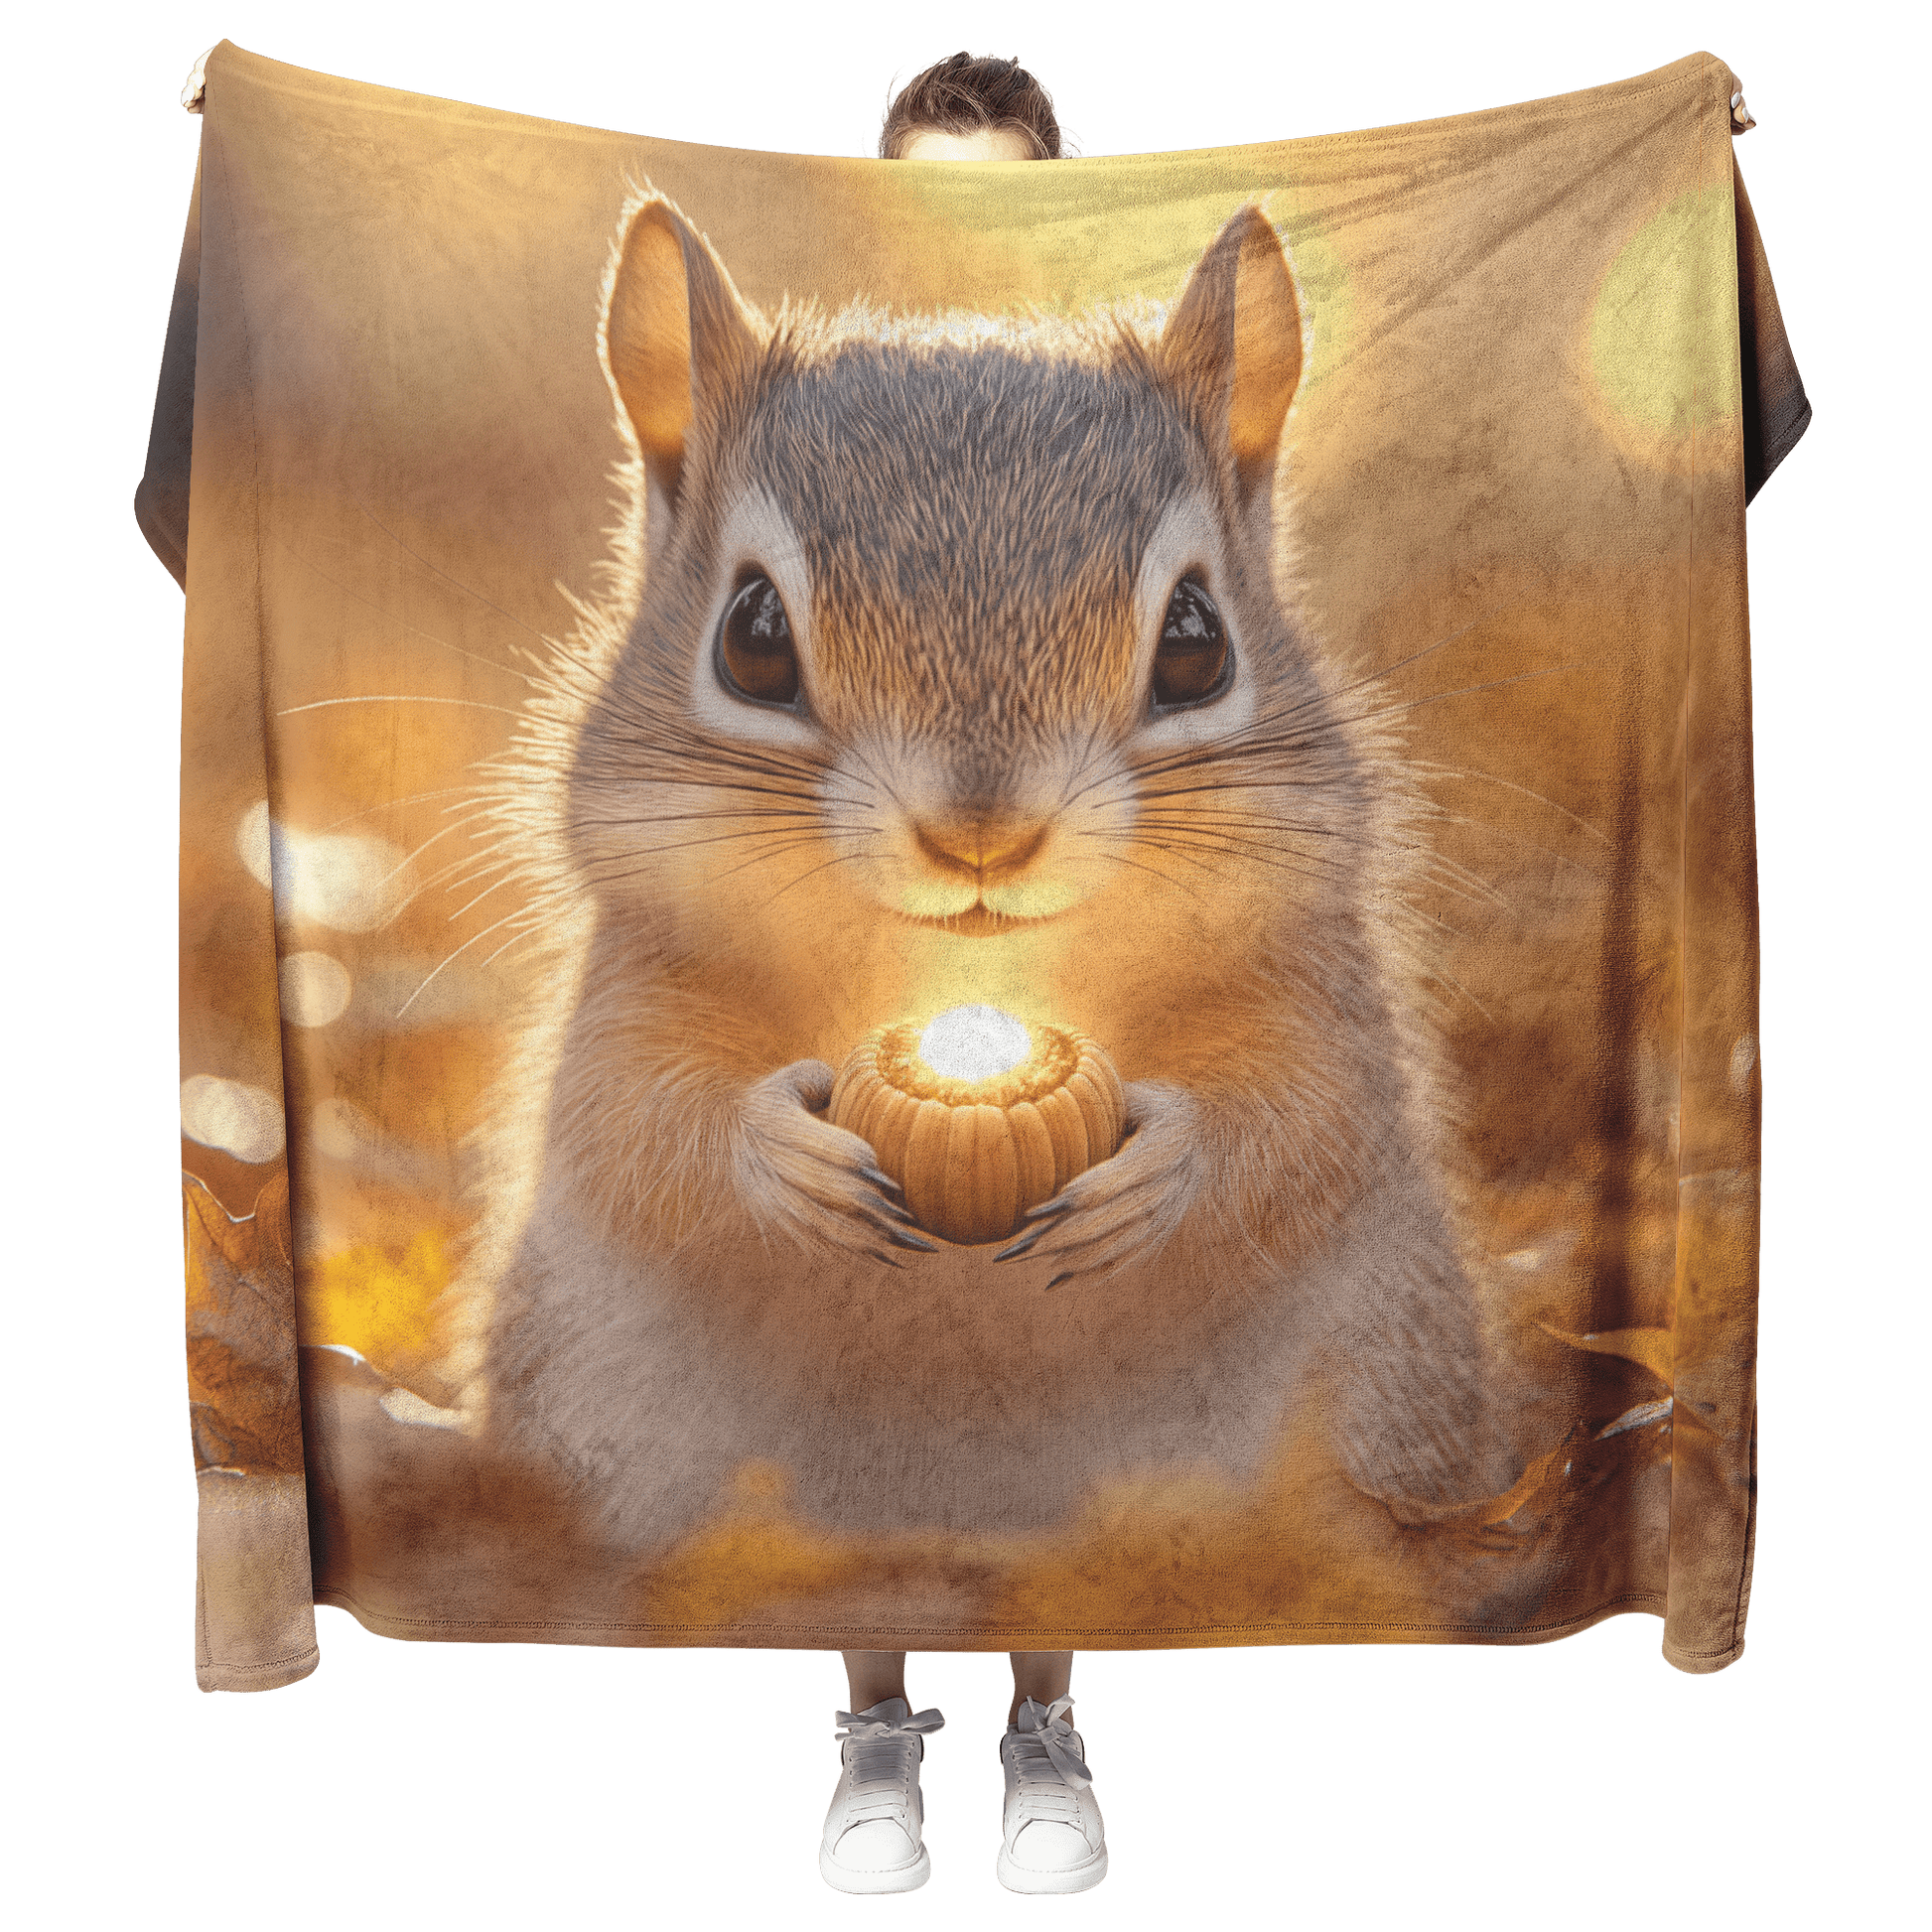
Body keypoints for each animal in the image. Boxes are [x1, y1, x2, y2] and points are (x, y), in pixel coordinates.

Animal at [433, 190, 1526, 1555]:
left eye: (1196, 642)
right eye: (750, 635)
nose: (981, 835)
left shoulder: (1309, 984)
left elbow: (1303, 1123)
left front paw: (1167, 1167)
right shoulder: (639, 976)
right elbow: (633, 1122)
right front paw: (771, 1154)